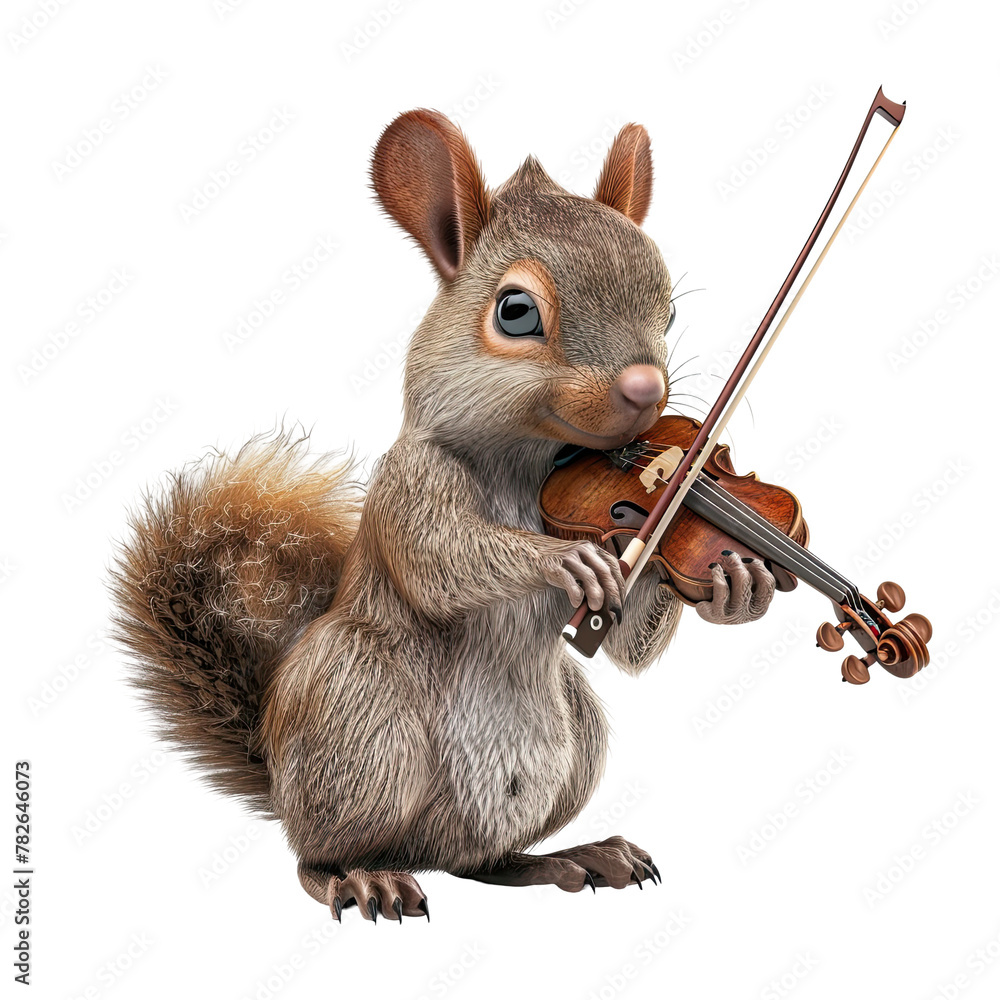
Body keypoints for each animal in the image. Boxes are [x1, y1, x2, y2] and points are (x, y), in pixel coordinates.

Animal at [111, 109, 776, 924]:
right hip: (358, 712)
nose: (647, 395)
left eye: (671, 311)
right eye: (516, 312)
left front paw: (736, 584)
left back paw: (574, 857)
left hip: (571, 737)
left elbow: (626, 648)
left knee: (486, 863)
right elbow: (442, 563)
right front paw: (565, 560)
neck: (531, 461)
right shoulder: (408, 489)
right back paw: (362, 878)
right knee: (318, 854)